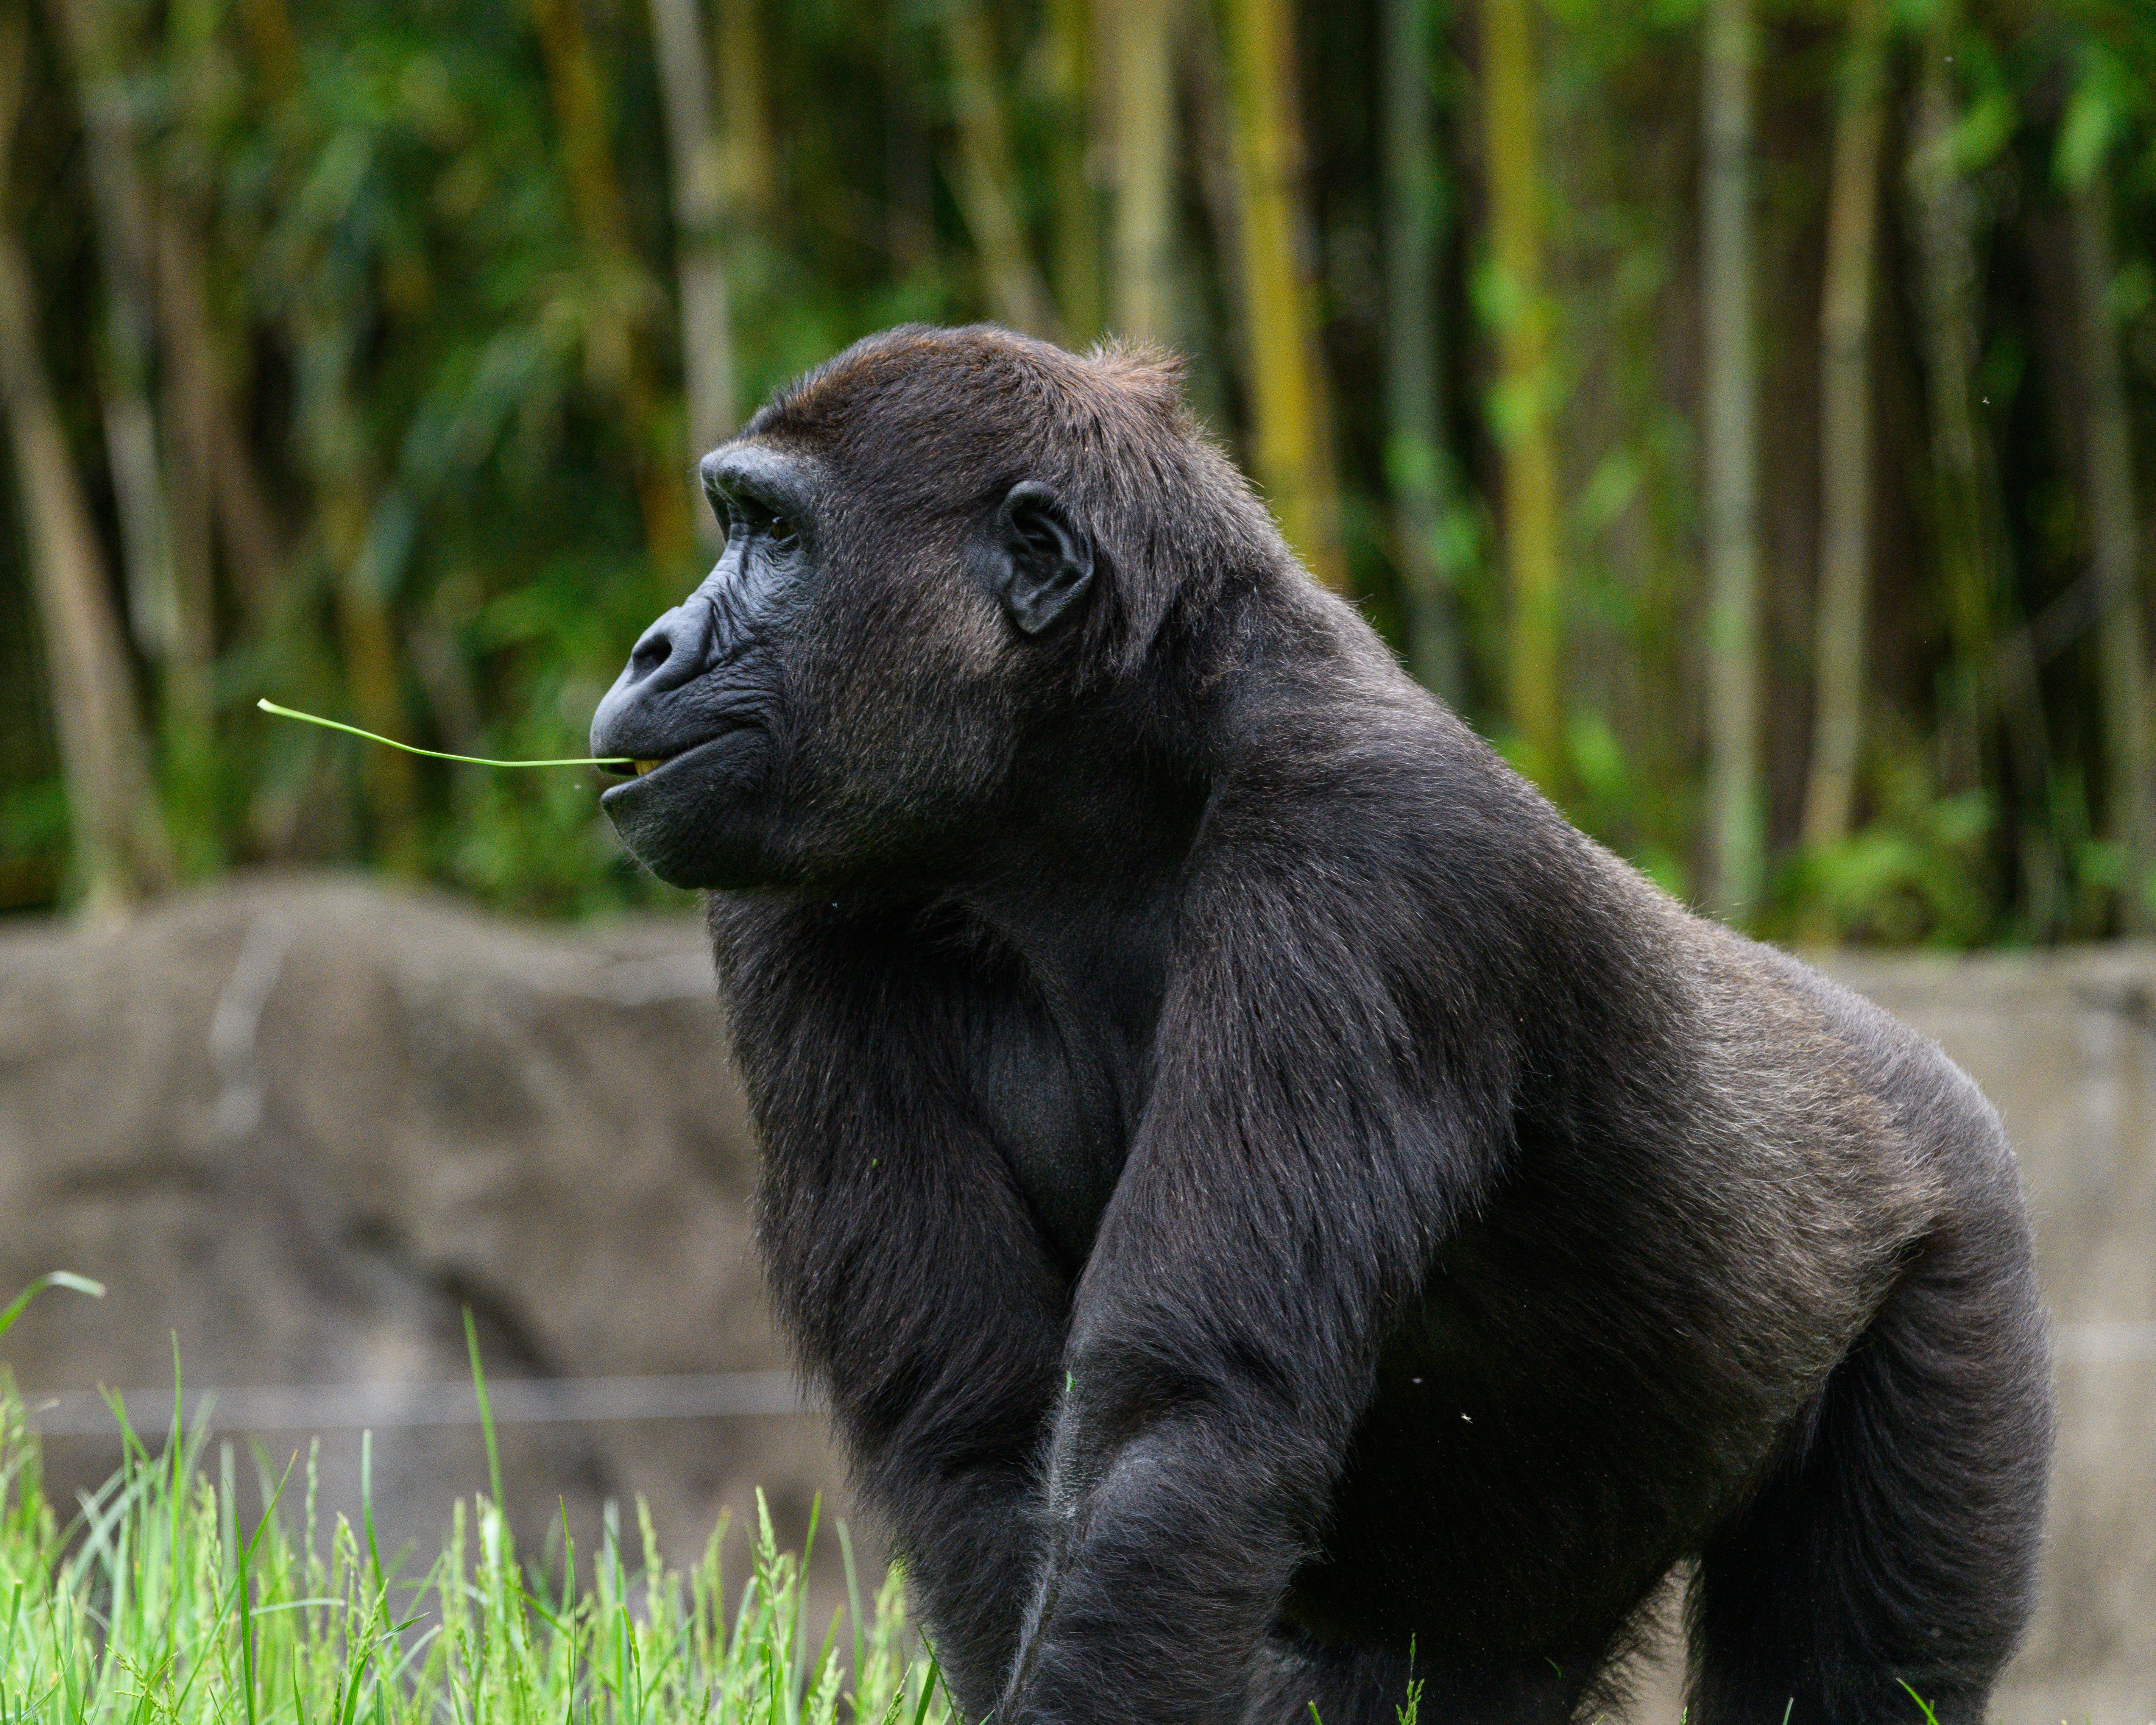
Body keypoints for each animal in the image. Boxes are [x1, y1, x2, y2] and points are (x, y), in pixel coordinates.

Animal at [590, 325, 2052, 1725]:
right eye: (737, 520)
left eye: (774, 535)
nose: (651, 646)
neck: (1092, 776)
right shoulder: (789, 892)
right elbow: (977, 1431)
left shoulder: (1373, 842)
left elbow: (1179, 1421)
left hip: (1956, 1245)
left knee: (1854, 1676)